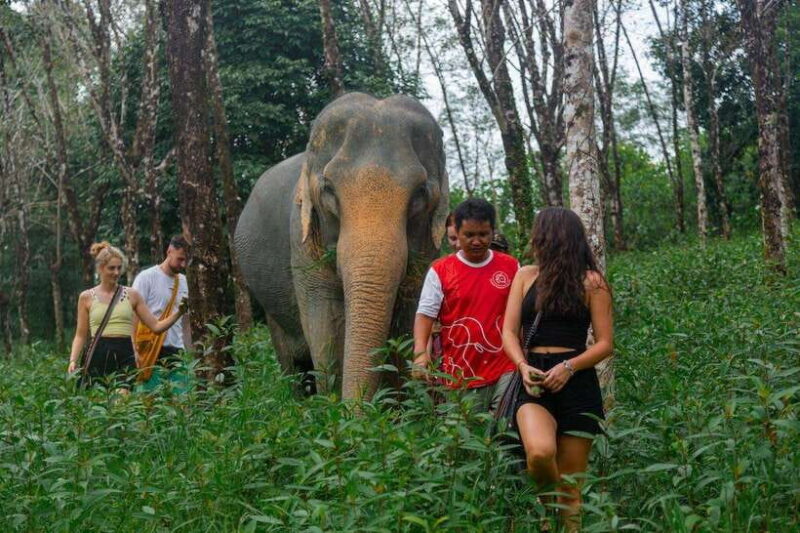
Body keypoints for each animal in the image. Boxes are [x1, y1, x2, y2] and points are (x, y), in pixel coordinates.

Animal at [235, 93, 449, 401]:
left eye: (420, 193)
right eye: (328, 190)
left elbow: (410, 310)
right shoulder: (301, 237)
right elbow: (327, 321)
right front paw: (338, 408)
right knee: (290, 362)